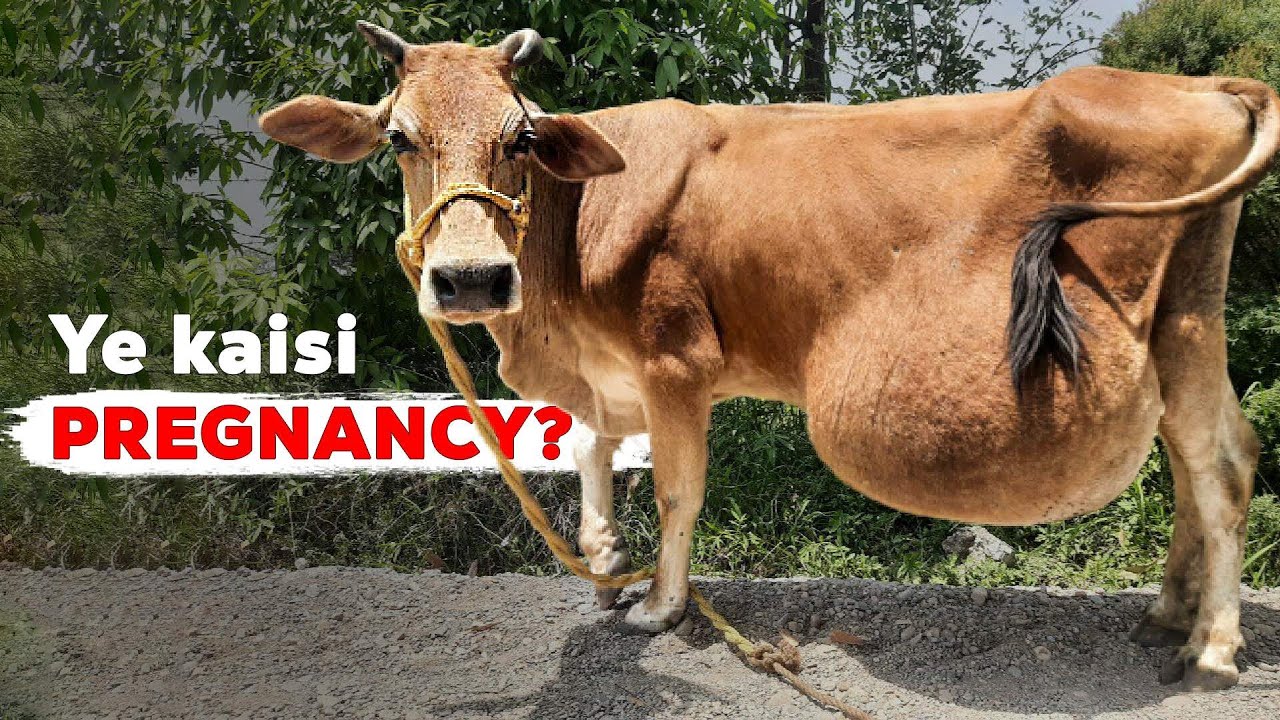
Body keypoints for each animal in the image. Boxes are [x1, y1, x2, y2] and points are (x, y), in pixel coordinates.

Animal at [260, 23, 1280, 691]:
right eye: (398, 137)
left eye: (522, 137)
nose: (471, 279)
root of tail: (1208, 83)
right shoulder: (608, 371)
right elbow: (590, 447)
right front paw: (603, 556)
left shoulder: (674, 360)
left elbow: (677, 489)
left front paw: (660, 606)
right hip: (1187, 318)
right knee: (1204, 458)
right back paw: (1170, 616)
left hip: (1175, 325)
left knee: (1220, 464)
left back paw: (1215, 650)